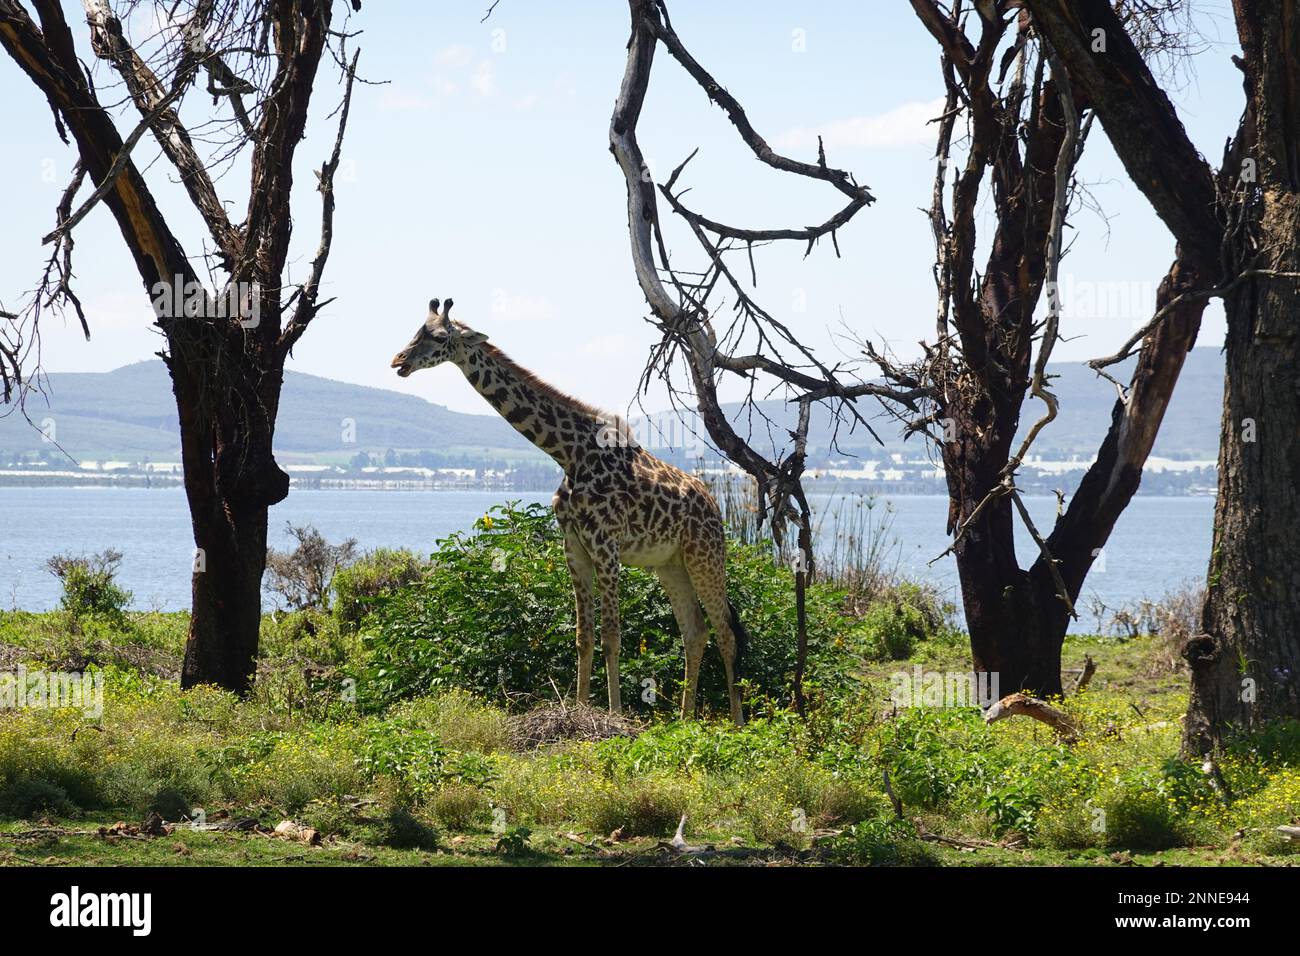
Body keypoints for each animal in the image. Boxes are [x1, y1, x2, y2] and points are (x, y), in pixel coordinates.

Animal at [391, 298, 749, 723]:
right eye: (416, 331)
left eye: (440, 337)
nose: (398, 361)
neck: (569, 453)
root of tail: (714, 505)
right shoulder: (574, 547)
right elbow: (583, 636)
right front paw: (579, 708)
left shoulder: (606, 546)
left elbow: (612, 635)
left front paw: (614, 714)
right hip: (670, 564)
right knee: (695, 631)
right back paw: (684, 719)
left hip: (704, 556)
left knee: (725, 631)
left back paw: (737, 723)